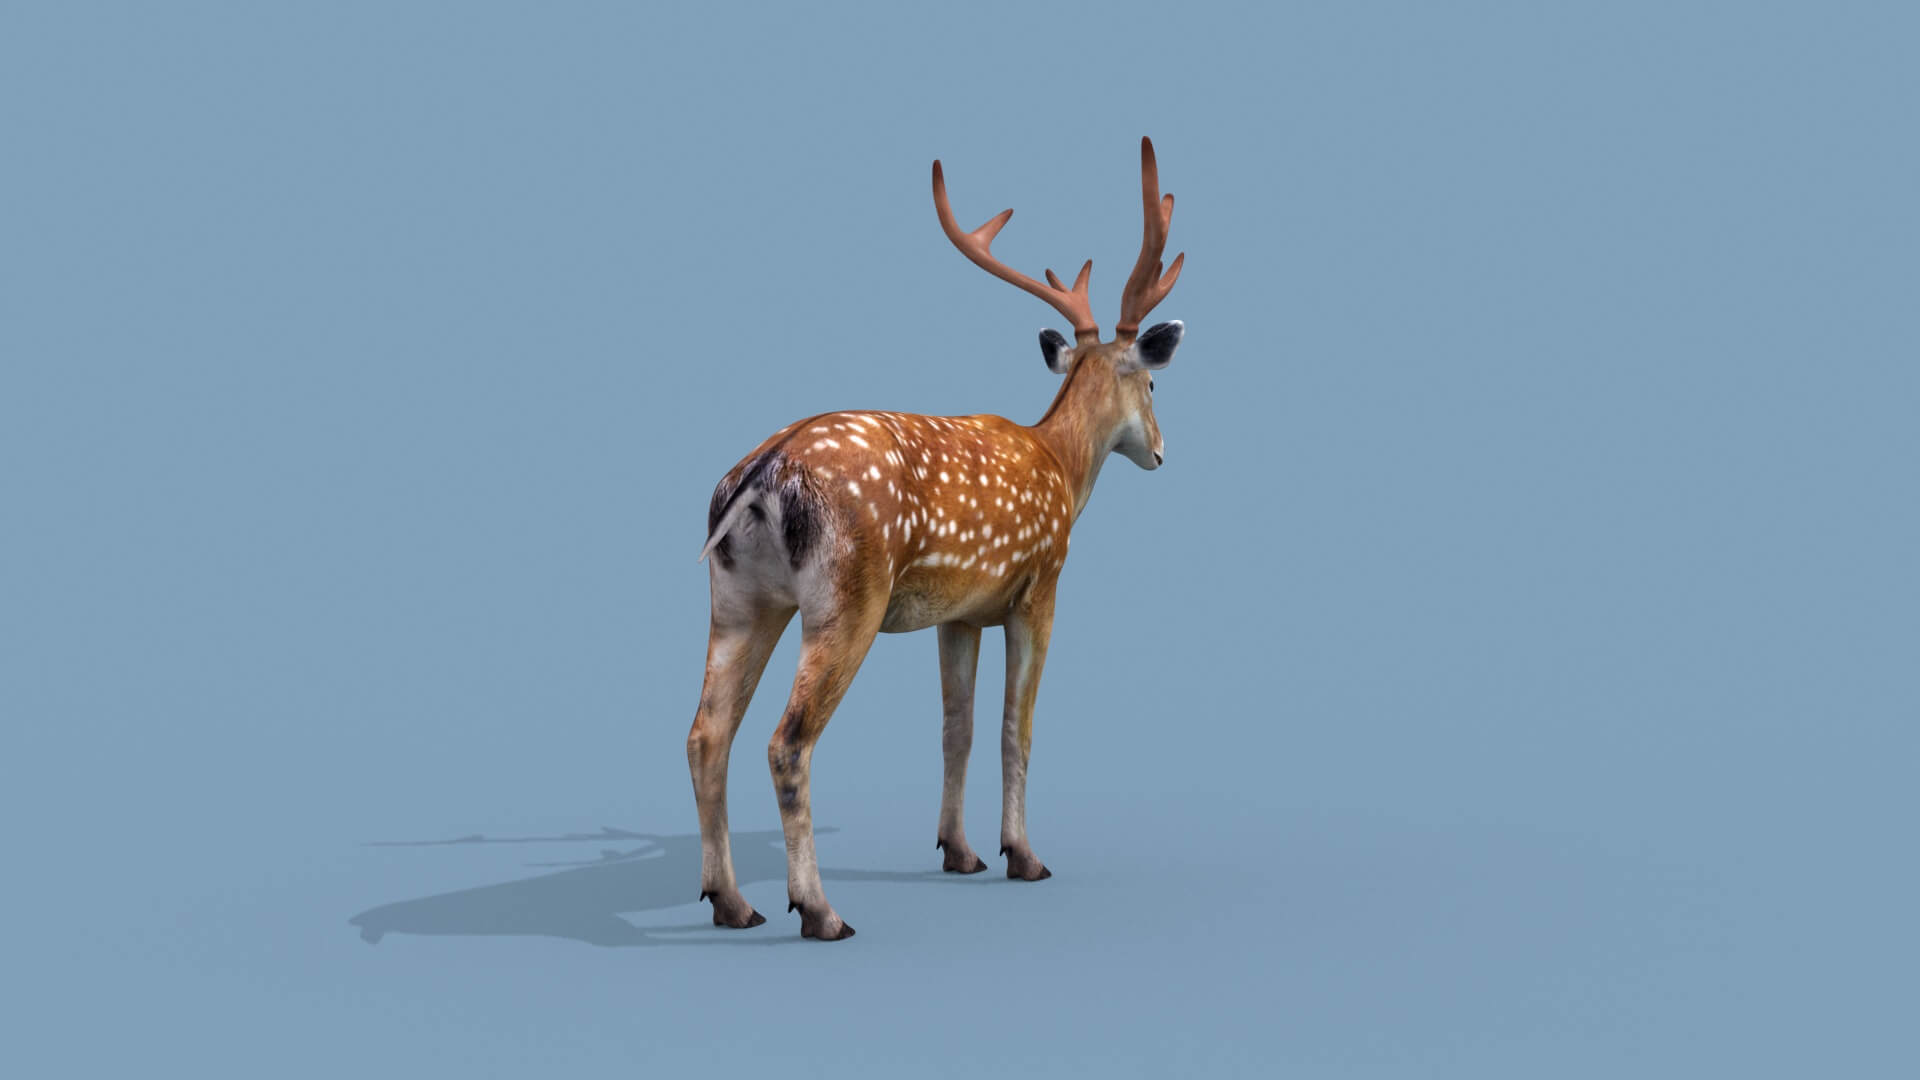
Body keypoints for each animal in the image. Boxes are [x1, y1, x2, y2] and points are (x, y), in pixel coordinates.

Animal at [687, 137, 1187, 940]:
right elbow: (1017, 726)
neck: (1063, 466)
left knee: (706, 735)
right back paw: (819, 911)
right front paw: (1024, 855)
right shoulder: (1039, 586)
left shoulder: (959, 613)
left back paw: (734, 903)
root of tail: (763, 474)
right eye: (1153, 385)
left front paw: (959, 850)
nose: (1163, 451)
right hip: (847, 595)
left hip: (739, 597)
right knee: (785, 742)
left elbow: (959, 726)